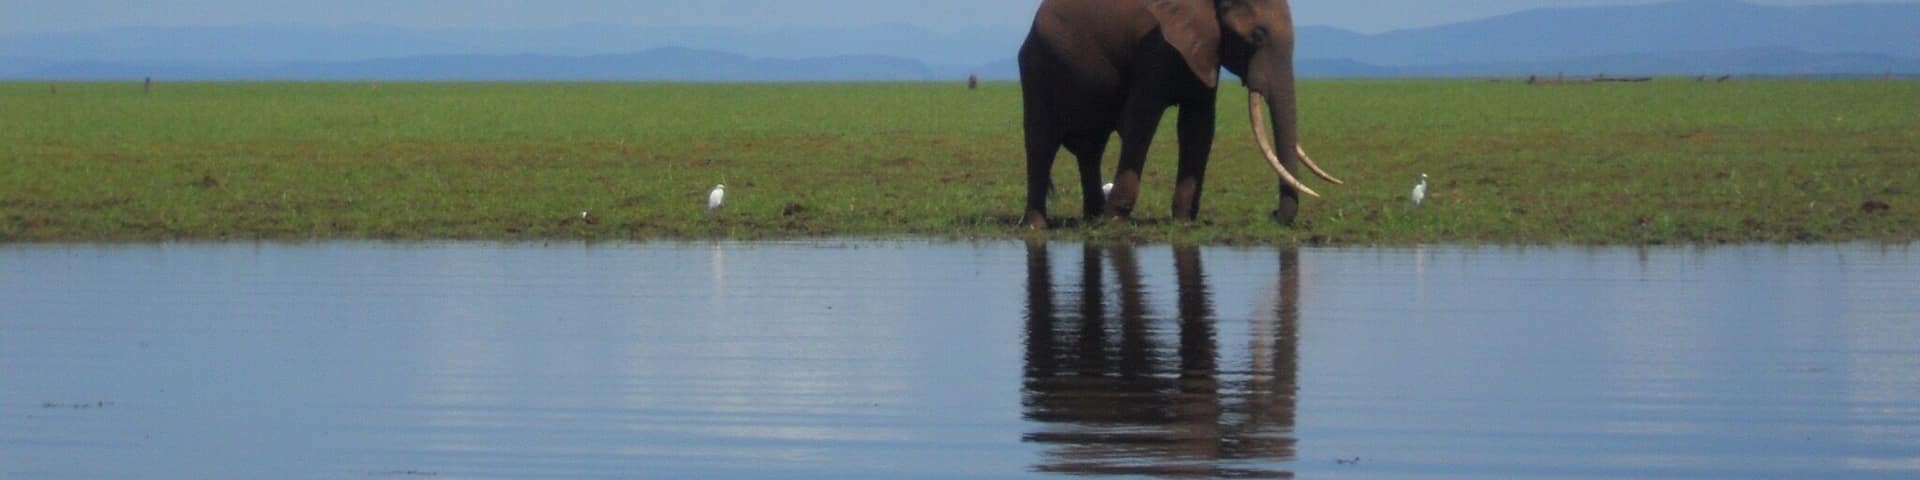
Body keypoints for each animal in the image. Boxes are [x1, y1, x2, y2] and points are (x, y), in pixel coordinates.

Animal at [1018, 0, 1343, 228]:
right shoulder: (1156, 45)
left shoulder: (1205, 48)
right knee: (1041, 142)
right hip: (1037, 64)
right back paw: (1039, 226)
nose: (1273, 214)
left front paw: (1184, 220)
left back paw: (1092, 218)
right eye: (1257, 36)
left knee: (1091, 149)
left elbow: (1198, 125)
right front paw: (1116, 221)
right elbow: (1141, 119)